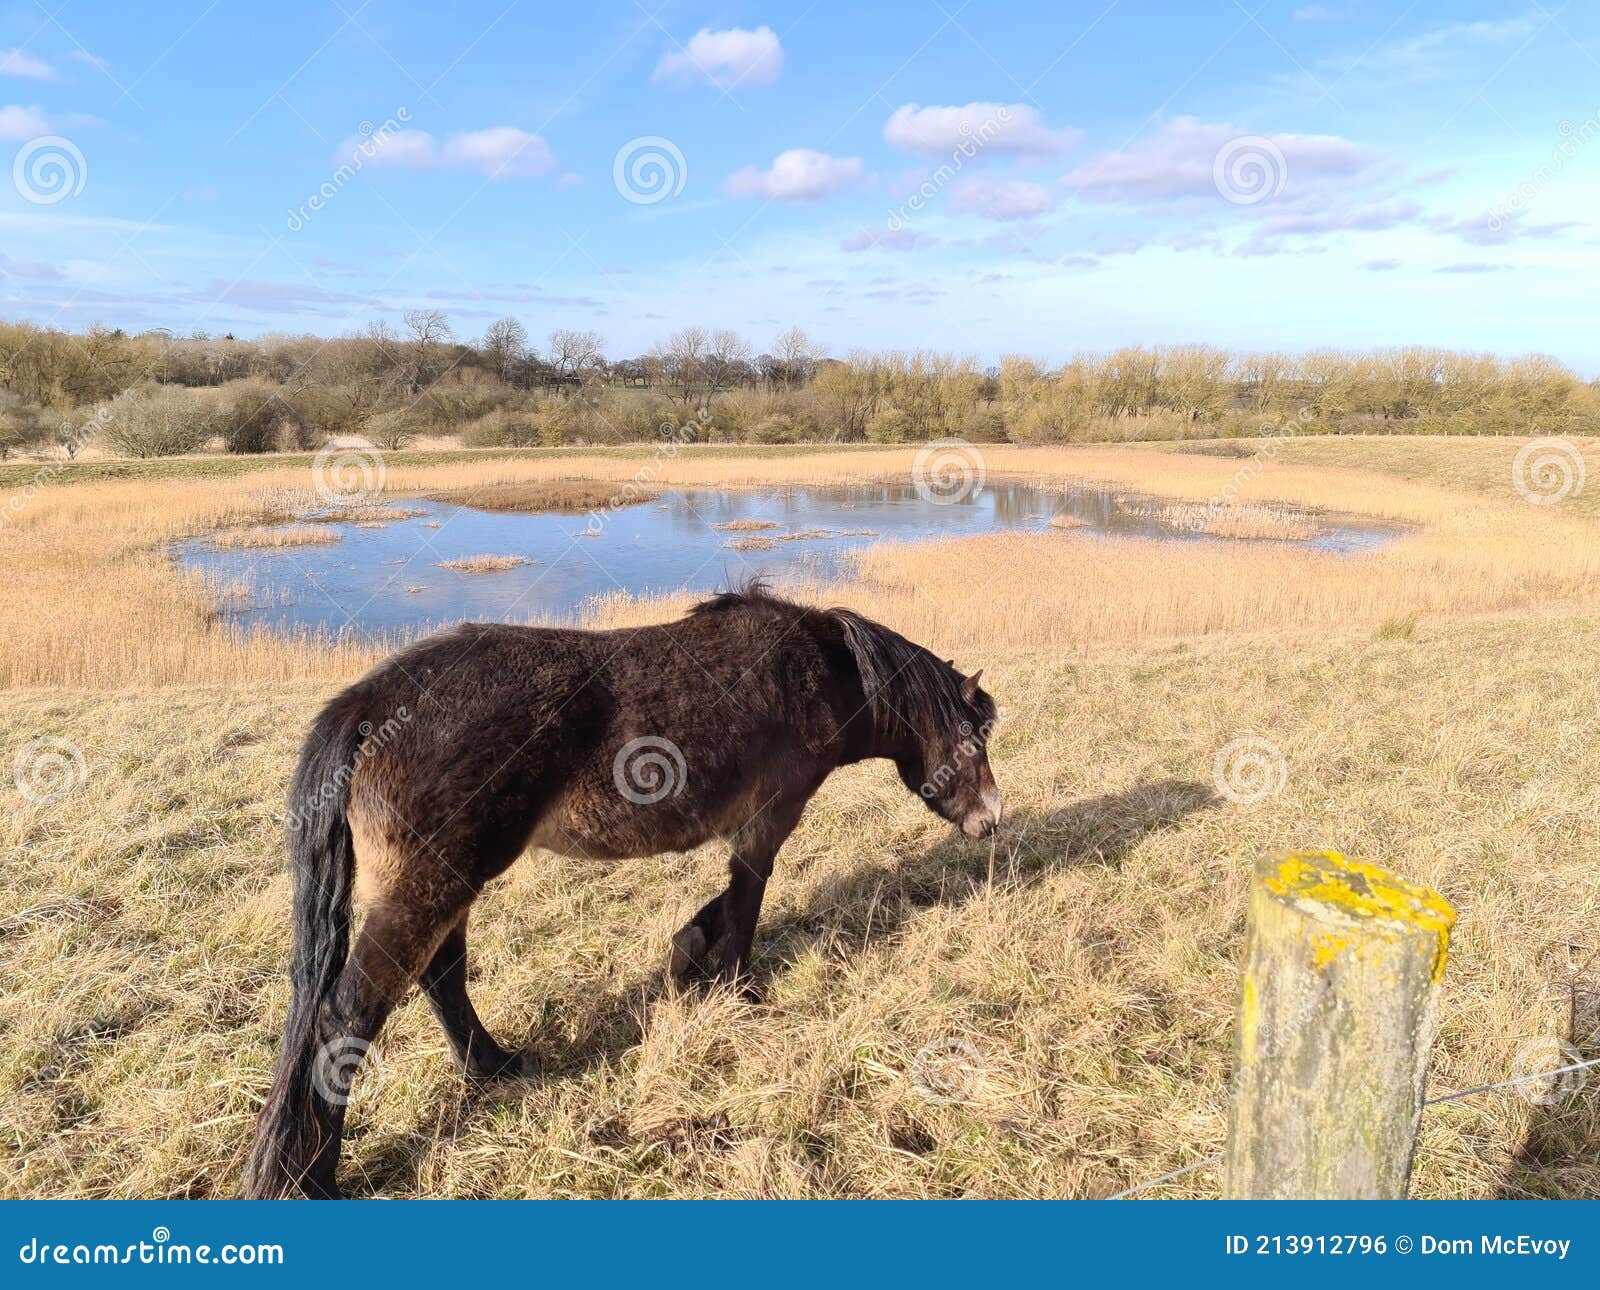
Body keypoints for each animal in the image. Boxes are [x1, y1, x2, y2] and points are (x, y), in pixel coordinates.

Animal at [240, 583, 1002, 1199]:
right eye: (971, 735)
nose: (991, 819)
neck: (820, 672)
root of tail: (369, 706)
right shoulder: (770, 819)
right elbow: (747, 903)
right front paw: (737, 989)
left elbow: (724, 901)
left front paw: (689, 954)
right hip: (429, 886)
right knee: (346, 1016)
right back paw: (315, 1176)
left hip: (443, 885)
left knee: (441, 977)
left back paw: (495, 1069)